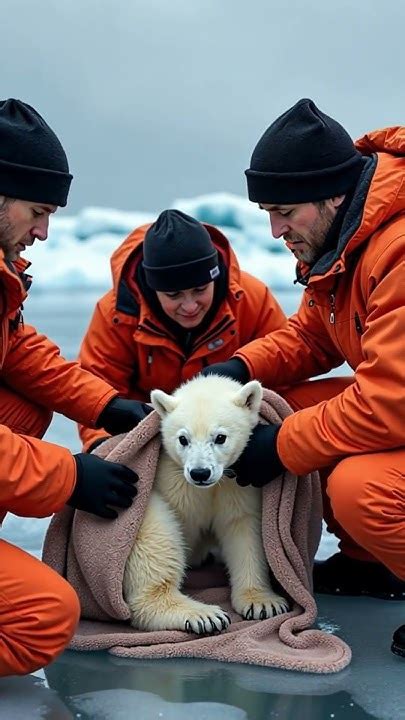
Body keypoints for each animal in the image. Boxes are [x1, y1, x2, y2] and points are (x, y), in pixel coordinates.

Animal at [123, 374, 289, 634]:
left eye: (220, 437)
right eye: (183, 439)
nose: (200, 473)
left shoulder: (237, 486)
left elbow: (244, 530)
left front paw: (262, 603)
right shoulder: (170, 478)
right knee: (155, 533)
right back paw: (203, 615)